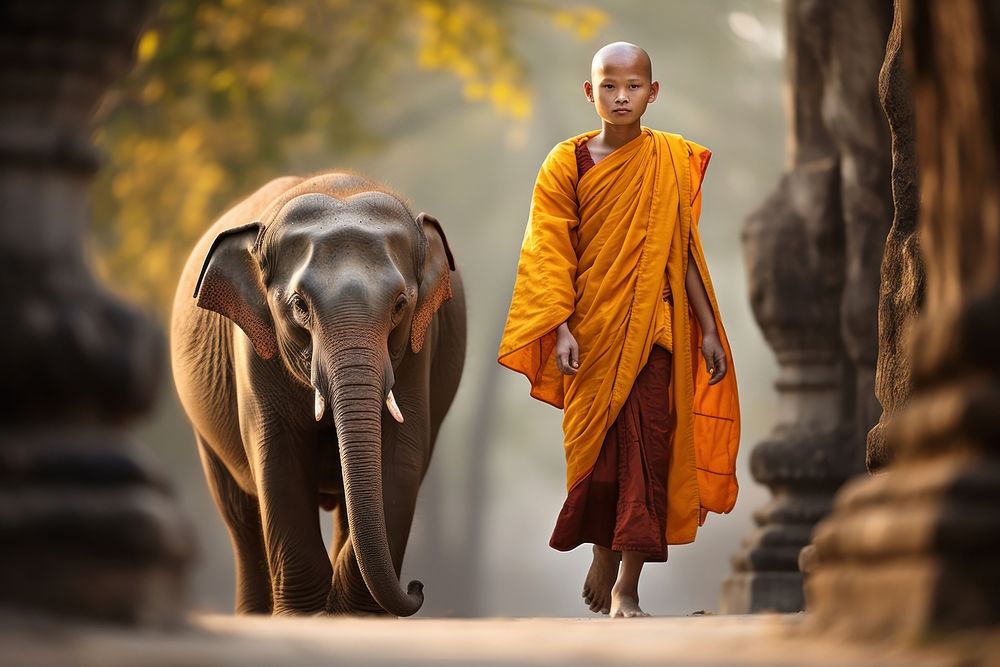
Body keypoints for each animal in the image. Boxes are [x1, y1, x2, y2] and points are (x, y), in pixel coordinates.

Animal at [170, 172, 466, 617]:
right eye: (299, 306)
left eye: (400, 305)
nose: (417, 587)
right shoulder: (253, 349)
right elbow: (278, 459)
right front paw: (305, 615)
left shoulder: (420, 346)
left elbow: (401, 457)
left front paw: (354, 616)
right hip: (204, 431)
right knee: (239, 514)